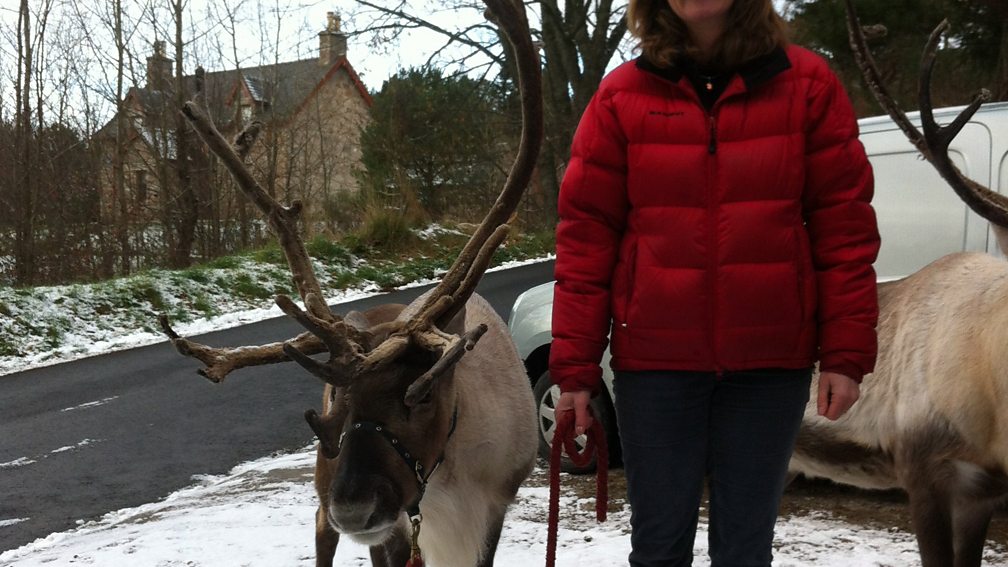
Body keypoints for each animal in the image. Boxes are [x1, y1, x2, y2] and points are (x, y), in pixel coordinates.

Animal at [157, 1, 541, 565]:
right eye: (342, 398)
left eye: (422, 392)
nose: (354, 509)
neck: (452, 480)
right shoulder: (394, 527)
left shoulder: (493, 511)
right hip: (324, 489)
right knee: (320, 535)